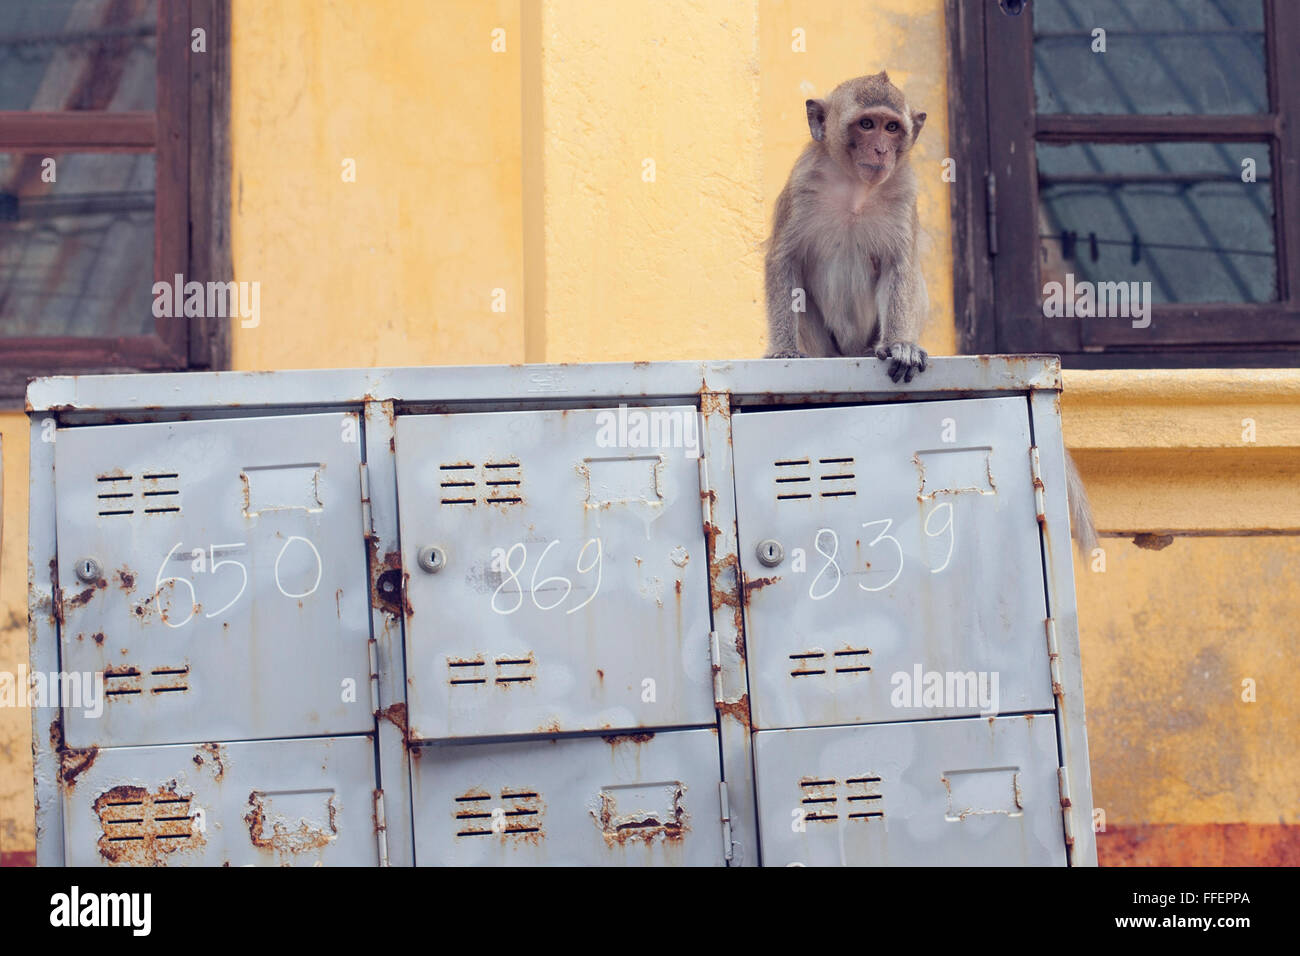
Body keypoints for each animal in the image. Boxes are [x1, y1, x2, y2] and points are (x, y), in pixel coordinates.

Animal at [764, 71, 1098, 554]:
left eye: (891, 128)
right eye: (866, 125)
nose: (880, 151)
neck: (855, 190)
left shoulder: (904, 193)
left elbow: (900, 267)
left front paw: (902, 346)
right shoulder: (802, 185)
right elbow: (784, 263)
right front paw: (782, 351)